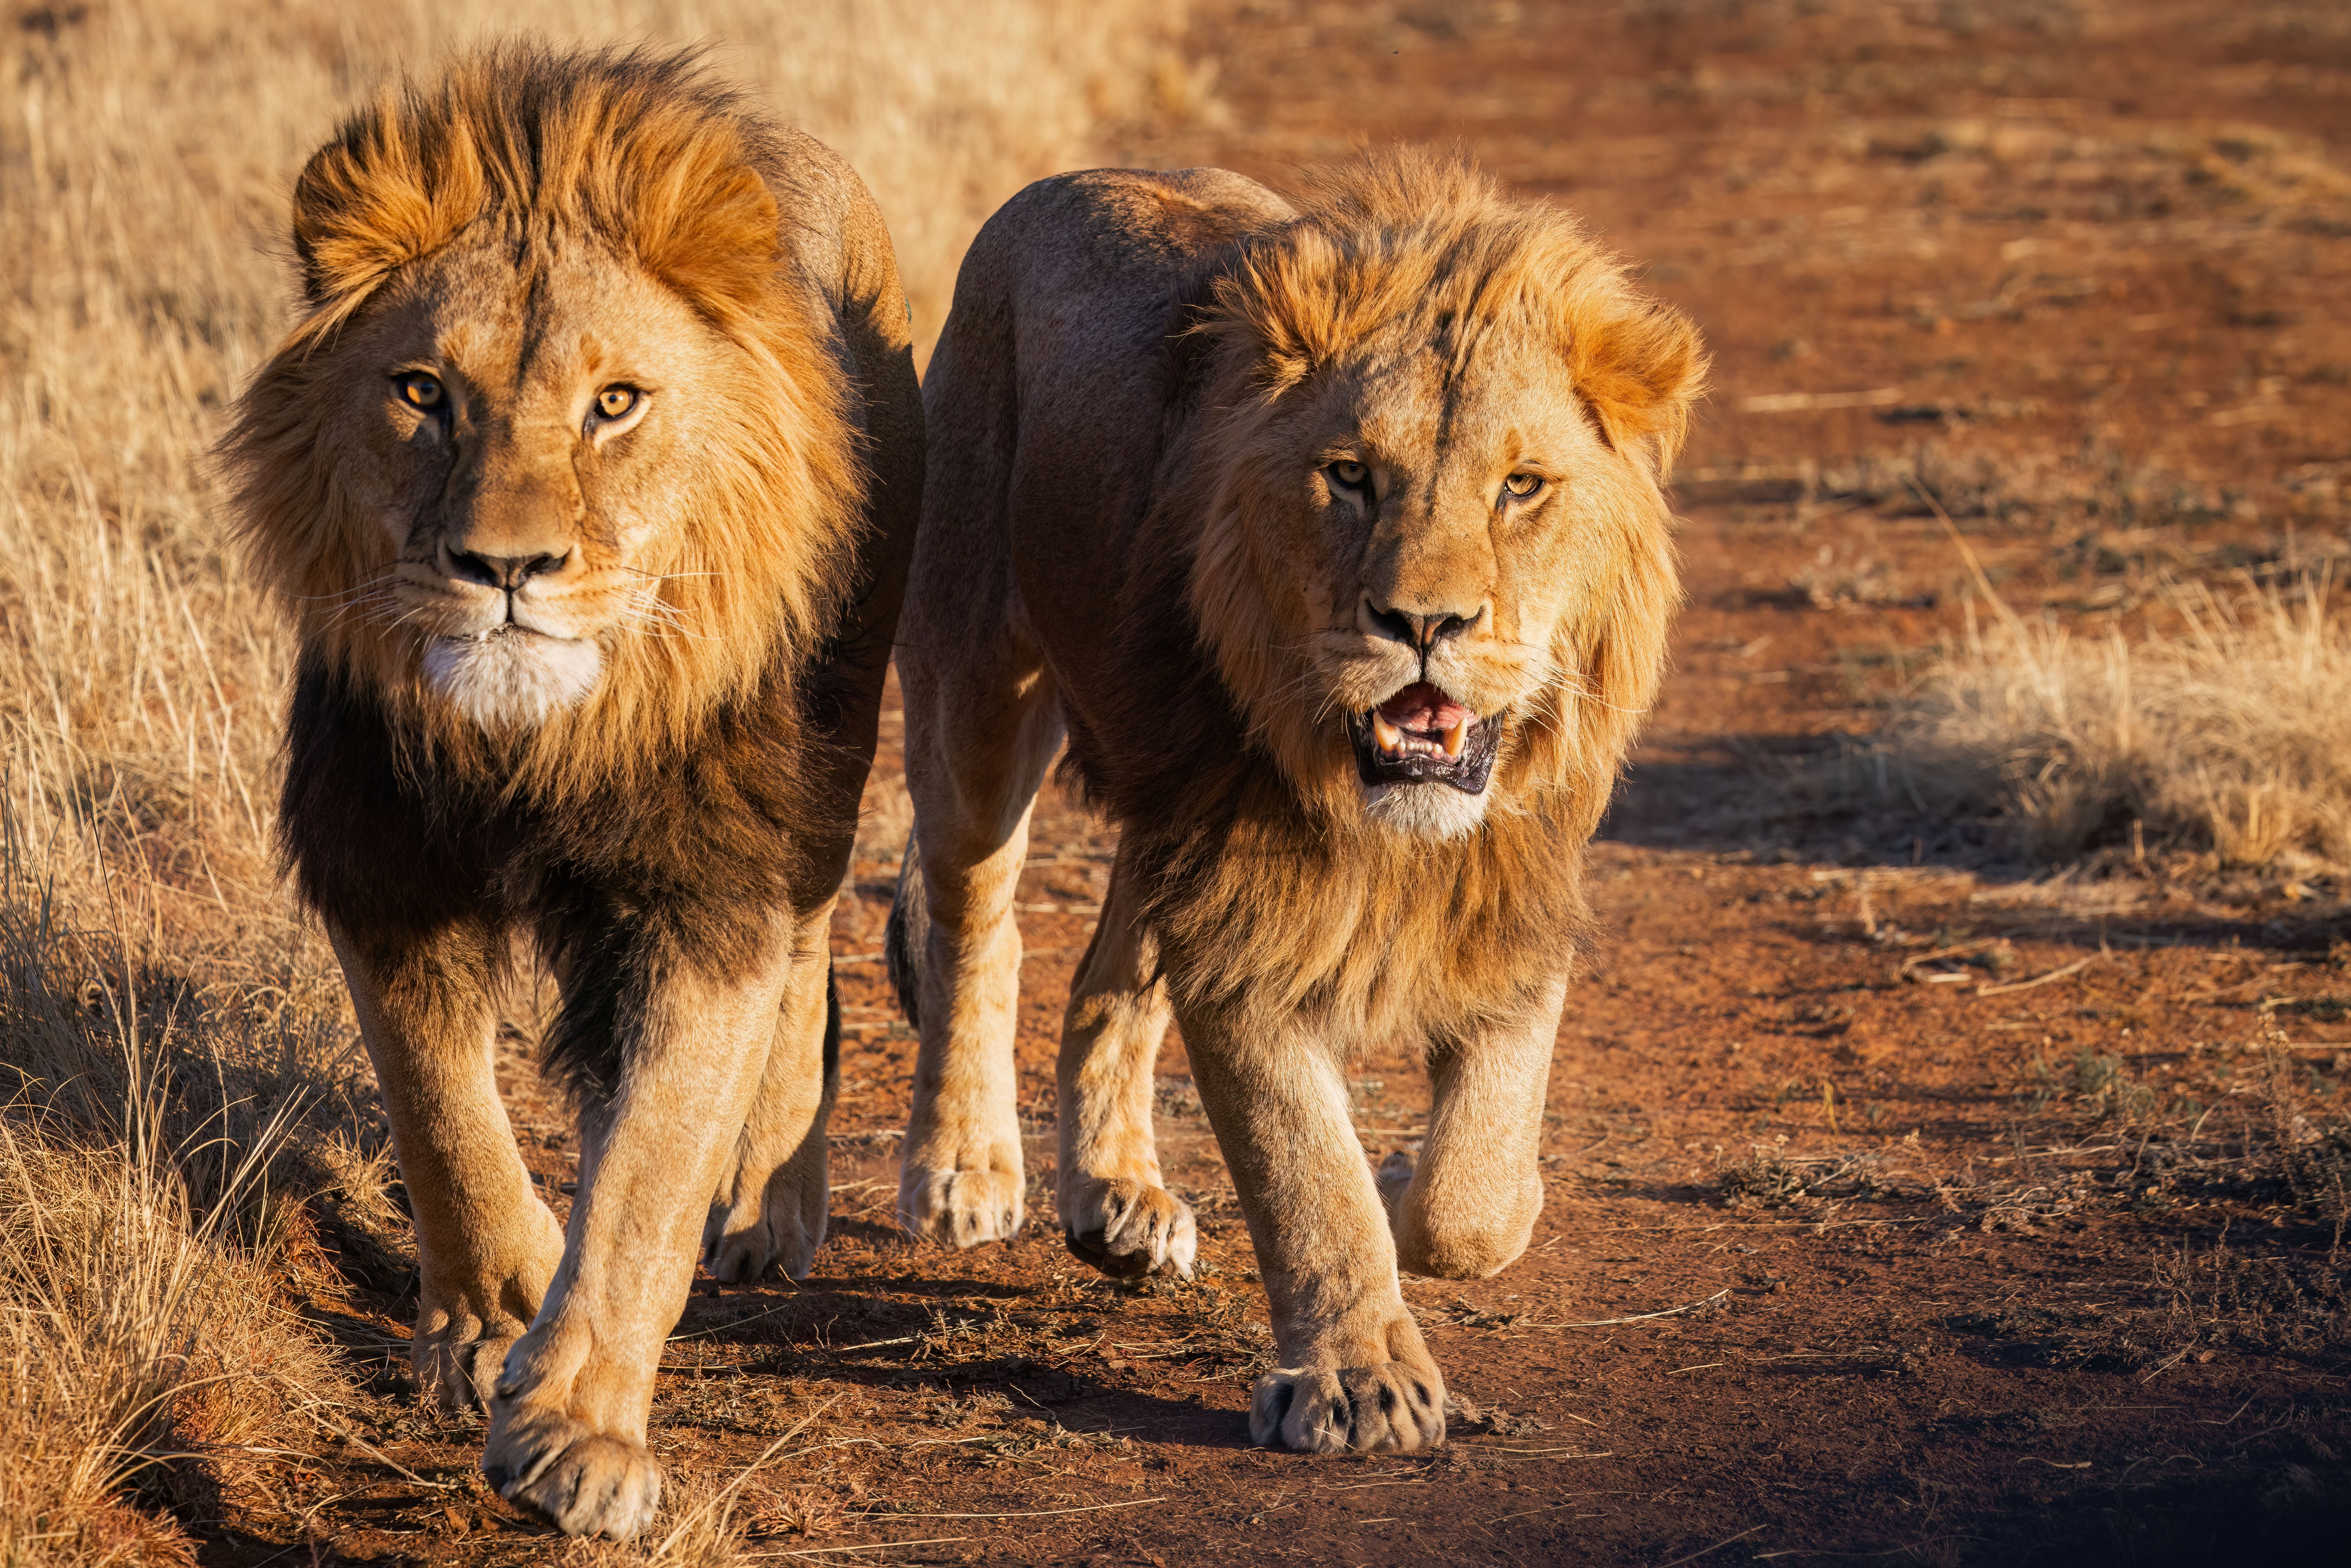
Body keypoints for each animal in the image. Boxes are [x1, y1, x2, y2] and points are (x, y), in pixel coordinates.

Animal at [221, 45, 921, 1536]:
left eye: (616, 403)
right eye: (423, 391)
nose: (505, 566)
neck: (534, 744)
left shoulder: (703, 896)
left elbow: (650, 1169)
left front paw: (579, 1429)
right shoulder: (379, 856)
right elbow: (439, 1111)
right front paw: (494, 1315)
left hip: (838, 732)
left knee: (807, 951)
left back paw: (767, 1201)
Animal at [886, 152, 1701, 1453]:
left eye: (1521, 486)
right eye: (1351, 476)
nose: (1422, 622)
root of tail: (1077, 177)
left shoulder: (1519, 881)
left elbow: (1472, 1190)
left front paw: (1428, 1185)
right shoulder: (1243, 927)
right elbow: (1303, 1170)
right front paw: (1359, 1378)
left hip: (1165, 793)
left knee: (1107, 978)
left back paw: (1117, 1200)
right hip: (974, 684)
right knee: (981, 925)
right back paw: (965, 1168)